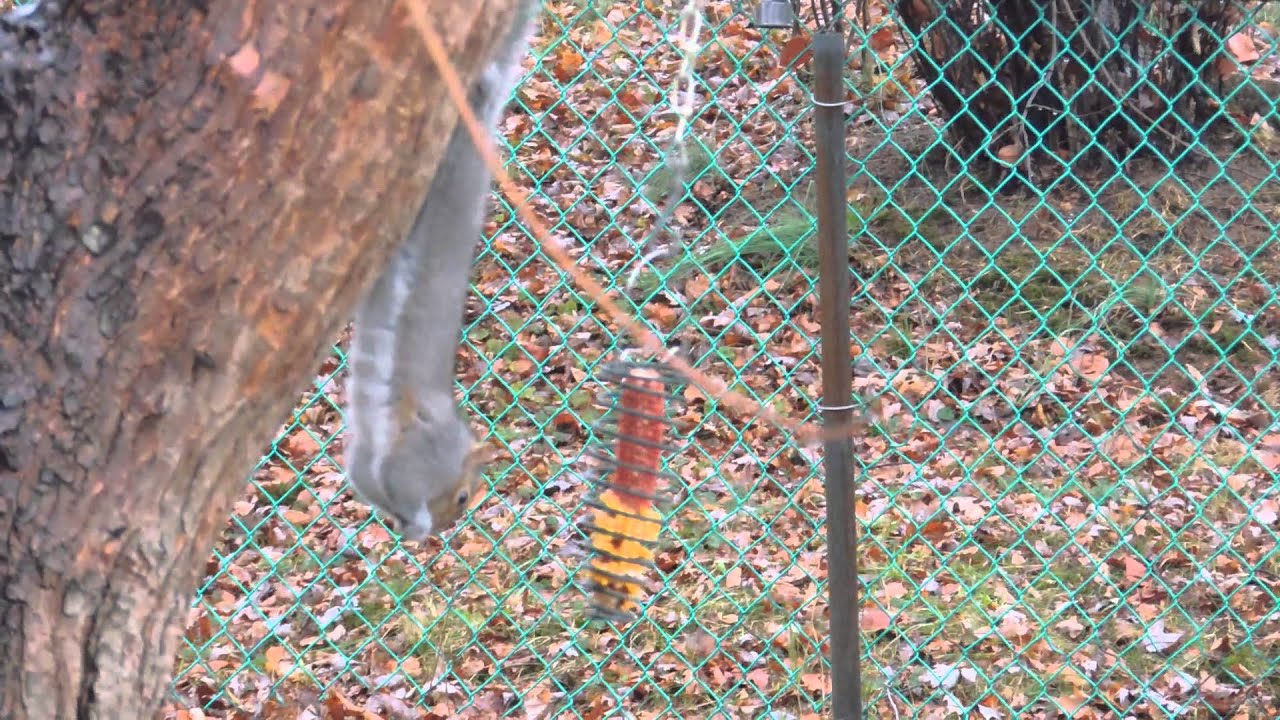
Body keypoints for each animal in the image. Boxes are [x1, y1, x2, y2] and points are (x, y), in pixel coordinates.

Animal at [343, 2, 538, 541]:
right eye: (464, 496)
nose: (437, 539)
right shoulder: (414, 460)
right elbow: (404, 484)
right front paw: (416, 526)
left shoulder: (367, 465)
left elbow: (365, 482)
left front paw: (401, 525)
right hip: (453, 166)